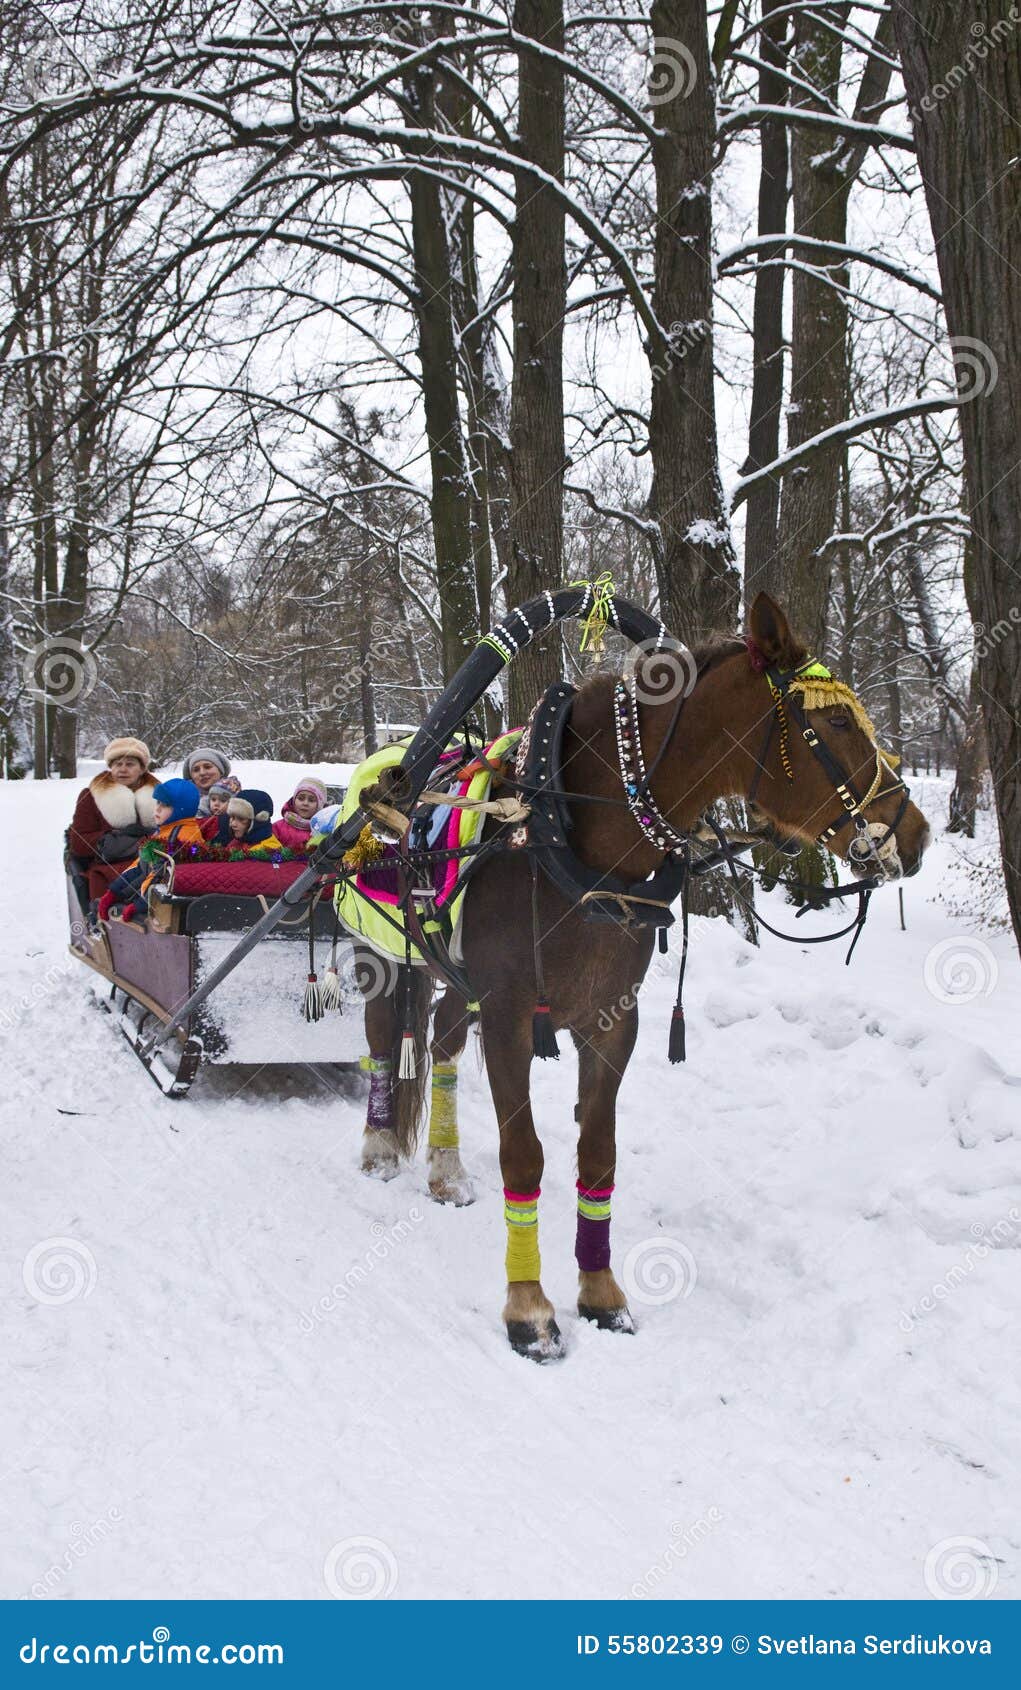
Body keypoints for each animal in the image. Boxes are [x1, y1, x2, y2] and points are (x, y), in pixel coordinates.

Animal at [350, 593, 930, 1359]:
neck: (568, 833)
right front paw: (529, 1309)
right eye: (835, 721)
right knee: (383, 1040)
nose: (916, 834)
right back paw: (379, 1145)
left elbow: (597, 1154)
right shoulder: (508, 1015)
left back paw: (444, 1170)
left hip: (458, 978)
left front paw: (599, 1294)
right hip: (384, 957)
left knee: (441, 1038)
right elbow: (524, 1156)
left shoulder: (609, 1018)